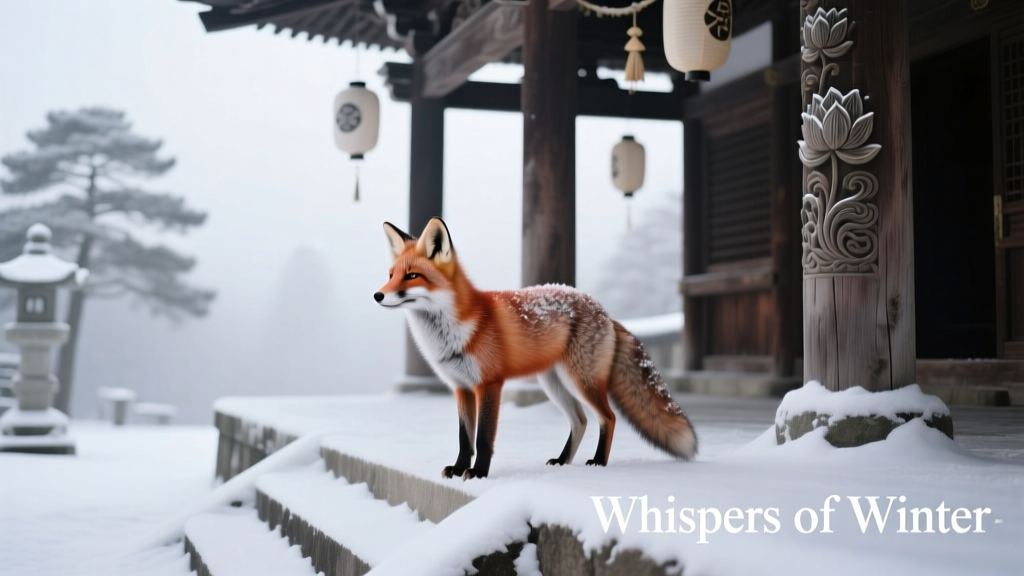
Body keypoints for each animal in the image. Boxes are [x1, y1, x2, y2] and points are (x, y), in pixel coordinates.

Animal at [373, 217, 697, 479]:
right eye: (390, 275)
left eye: (412, 276)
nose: (377, 295)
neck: (454, 332)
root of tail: (605, 311)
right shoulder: (461, 387)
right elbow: (465, 439)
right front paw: (459, 467)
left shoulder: (489, 384)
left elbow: (482, 439)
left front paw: (478, 473)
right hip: (554, 384)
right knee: (580, 421)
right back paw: (563, 462)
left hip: (582, 381)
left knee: (608, 417)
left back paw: (598, 462)